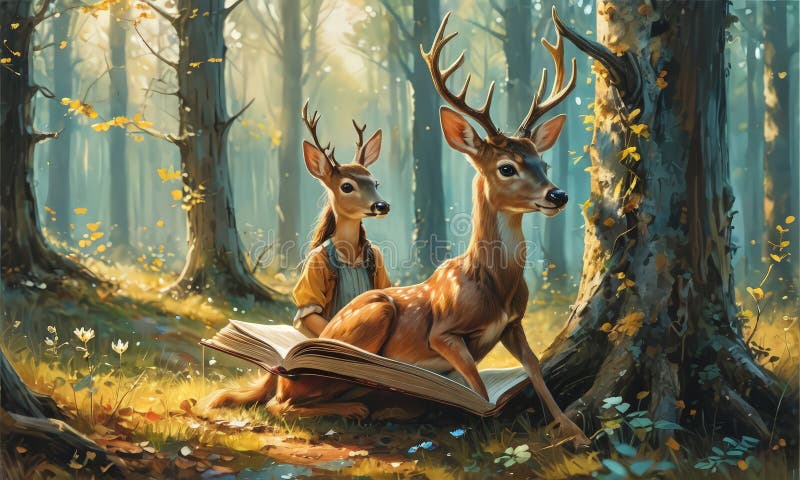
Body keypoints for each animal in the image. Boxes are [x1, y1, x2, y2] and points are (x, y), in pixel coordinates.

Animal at [212, 10, 589, 446]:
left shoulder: (513, 323)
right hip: (374, 314)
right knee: (283, 399)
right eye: (506, 167)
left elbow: (535, 370)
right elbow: (477, 389)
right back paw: (358, 407)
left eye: (542, 163)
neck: (493, 282)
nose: (558, 195)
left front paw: (574, 432)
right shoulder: (443, 332)